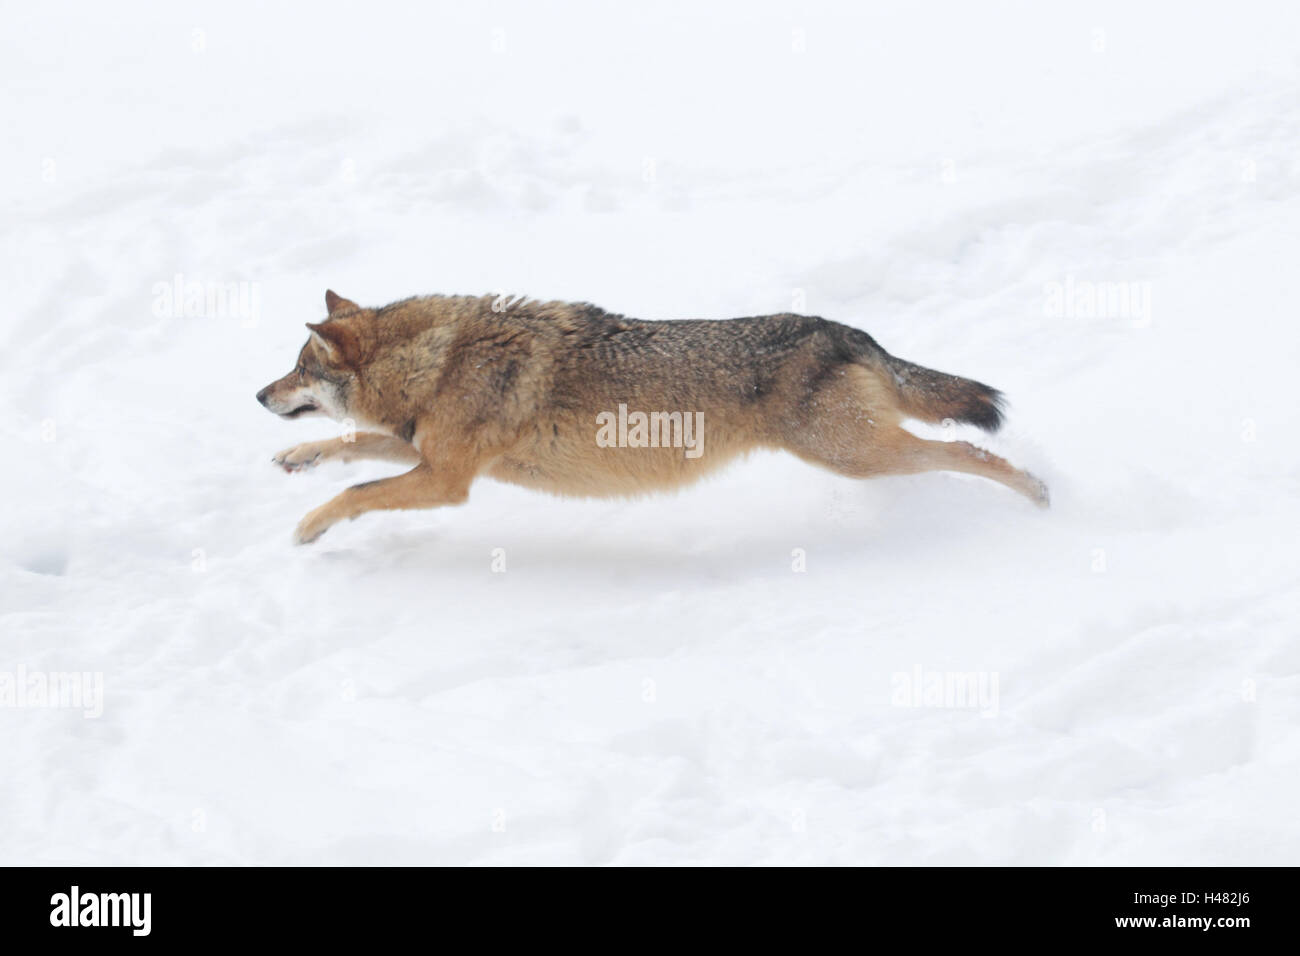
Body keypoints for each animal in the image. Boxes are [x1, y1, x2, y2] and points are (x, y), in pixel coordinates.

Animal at [257, 291, 1048, 544]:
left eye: (297, 368)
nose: (259, 396)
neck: (438, 361)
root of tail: (842, 329)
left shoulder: (448, 481)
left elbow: (357, 491)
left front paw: (307, 529)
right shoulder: (430, 456)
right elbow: (350, 443)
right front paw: (296, 461)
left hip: (853, 455)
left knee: (973, 454)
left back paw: (1042, 496)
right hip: (862, 455)